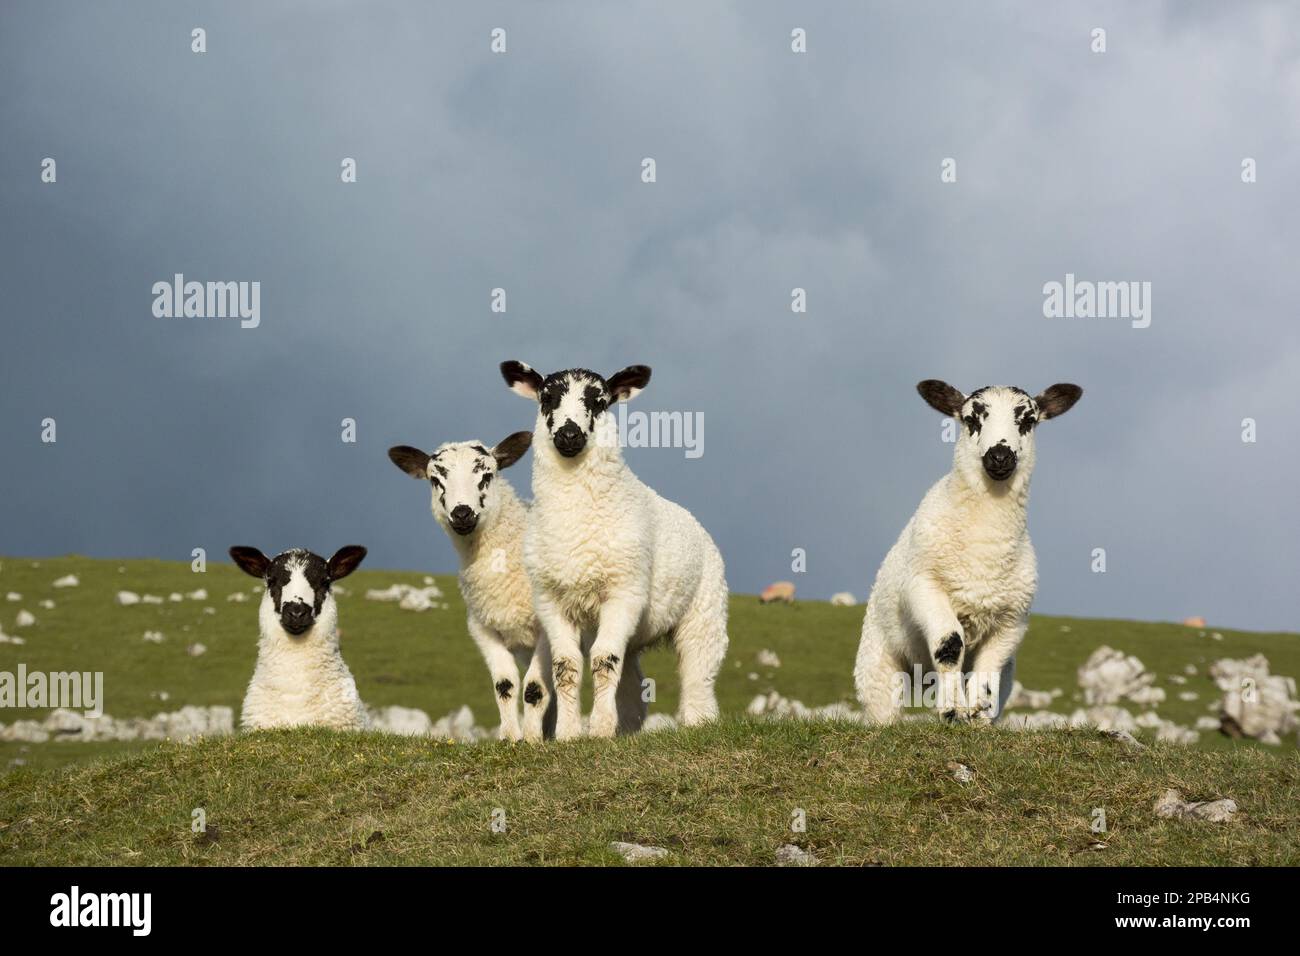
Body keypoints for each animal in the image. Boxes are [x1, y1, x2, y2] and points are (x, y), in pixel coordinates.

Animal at [387, 432, 556, 742]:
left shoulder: (548, 626)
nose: (462, 513)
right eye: (435, 479)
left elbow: (534, 688)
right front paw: (511, 738)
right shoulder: (482, 628)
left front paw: (531, 739)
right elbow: (506, 685)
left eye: (487, 475)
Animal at [501, 361, 729, 739]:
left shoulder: (624, 591)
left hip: (705, 610)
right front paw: (568, 734)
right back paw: (629, 729)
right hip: (636, 632)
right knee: (632, 683)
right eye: (546, 398)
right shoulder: (551, 600)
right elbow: (566, 667)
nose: (569, 435)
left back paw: (698, 722)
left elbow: (603, 660)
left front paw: (600, 730)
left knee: (699, 670)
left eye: (599, 401)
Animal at [854, 380, 1082, 724]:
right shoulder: (925, 588)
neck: (985, 549)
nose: (1000, 456)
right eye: (971, 419)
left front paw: (978, 715)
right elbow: (950, 644)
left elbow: (988, 668)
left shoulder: (1012, 619)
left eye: (1028, 421)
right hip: (877, 665)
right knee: (882, 709)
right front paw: (951, 710)